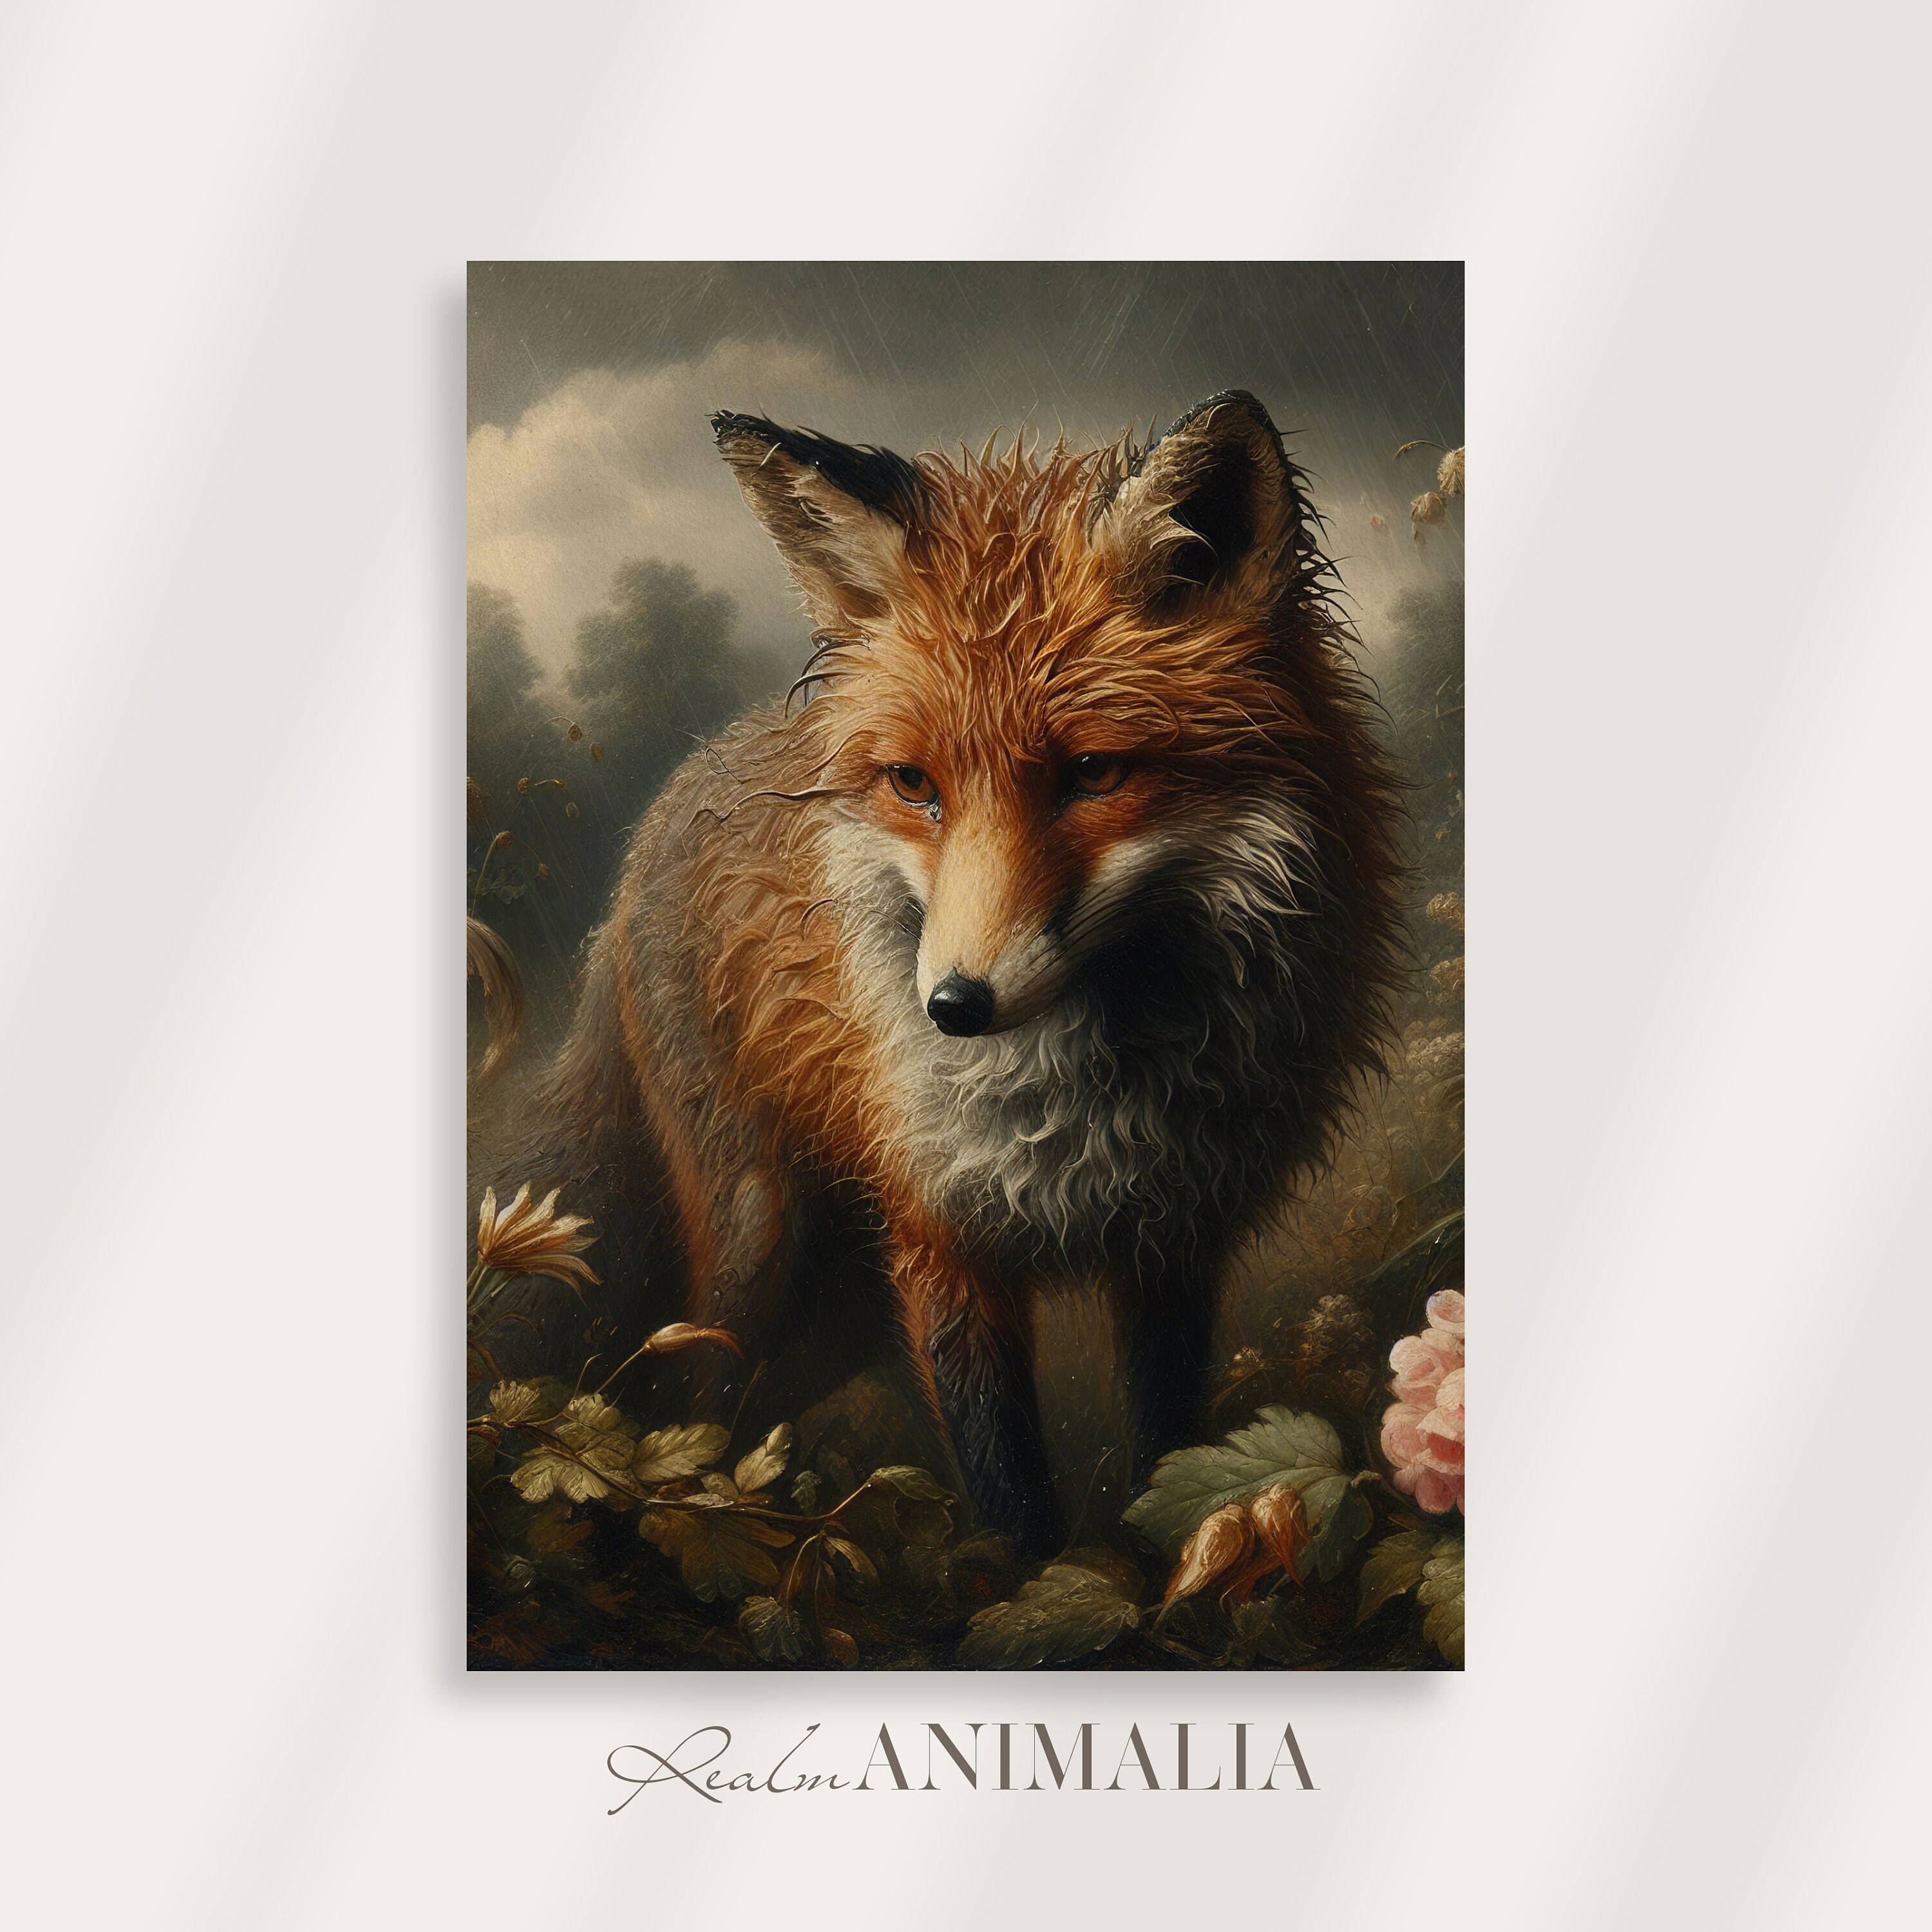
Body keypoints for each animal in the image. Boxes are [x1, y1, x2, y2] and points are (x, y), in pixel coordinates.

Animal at [502, 390, 1407, 1554]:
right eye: (913, 784)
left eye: (1094, 773)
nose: (954, 1008)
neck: (1085, 1098)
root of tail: (667, 806)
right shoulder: (939, 1230)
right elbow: (1007, 1482)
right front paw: (1025, 1580)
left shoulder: (1172, 1242)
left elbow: (1164, 1444)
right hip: (761, 1234)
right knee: (696, 1390)